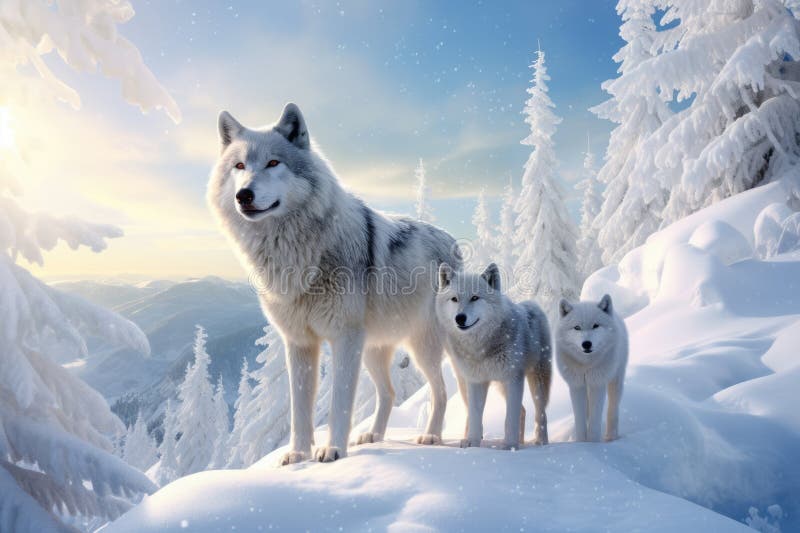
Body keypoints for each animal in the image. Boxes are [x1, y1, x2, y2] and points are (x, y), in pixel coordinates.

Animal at [207, 103, 463, 464]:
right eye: (239, 166)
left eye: (274, 163)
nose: (244, 195)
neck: (298, 256)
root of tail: (451, 240)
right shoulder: (299, 342)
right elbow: (300, 409)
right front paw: (298, 454)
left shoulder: (344, 338)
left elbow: (339, 402)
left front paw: (333, 450)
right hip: (373, 350)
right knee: (389, 392)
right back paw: (373, 436)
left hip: (421, 346)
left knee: (440, 390)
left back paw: (431, 436)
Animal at [435, 263, 552, 449]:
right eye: (454, 299)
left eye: (475, 298)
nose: (460, 318)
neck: (481, 347)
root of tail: (531, 305)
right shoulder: (476, 381)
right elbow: (475, 415)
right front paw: (472, 442)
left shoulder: (513, 379)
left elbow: (509, 418)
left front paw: (509, 446)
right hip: (502, 386)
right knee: (523, 410)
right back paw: (521, 441)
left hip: (537, 380)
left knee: (540, 412)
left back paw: (540, 442)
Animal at [556, 295, 628, 442]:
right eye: (577, 327)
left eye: (595, 326)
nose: (586, 344)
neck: (586, 365)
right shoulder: (576, 386)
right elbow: (580, 418)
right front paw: (581, 442)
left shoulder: (597, 384)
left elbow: (595, 419)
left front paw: (593, 443)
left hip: (615, 382)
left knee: (613, 409)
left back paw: (611, 437)